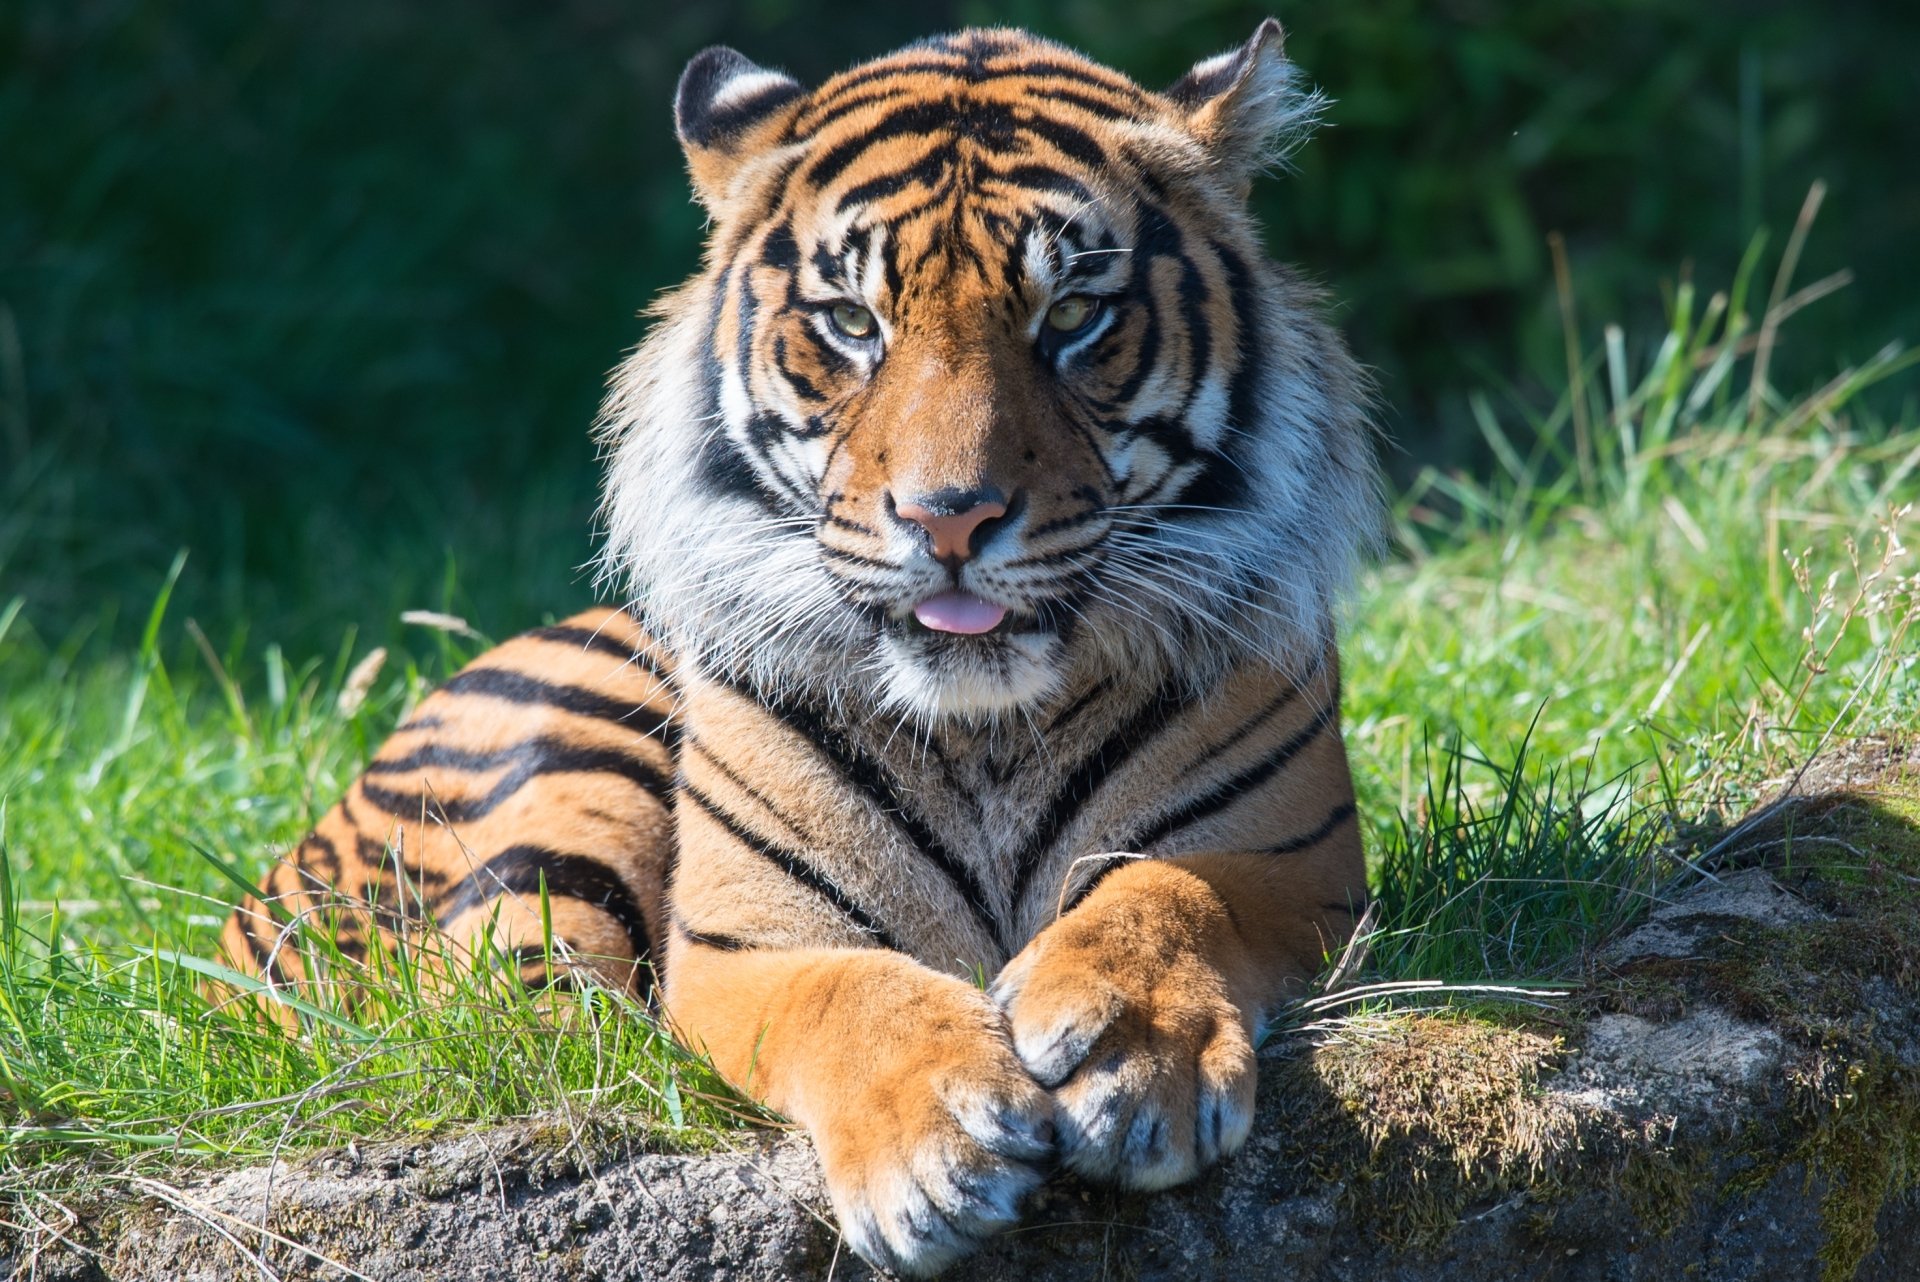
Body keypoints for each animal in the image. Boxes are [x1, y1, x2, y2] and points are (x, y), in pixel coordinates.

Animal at [223, 20, 1381, 1276]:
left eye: (1073, 317)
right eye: (852, 324)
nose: (949, 518)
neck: (987, 732)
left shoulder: (1289, 862)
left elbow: (1168, 892)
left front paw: (1133, 1054)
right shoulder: (744, 937)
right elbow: (847, 990)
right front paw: (936, 1147)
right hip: (570, 785)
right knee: (521, 1022)